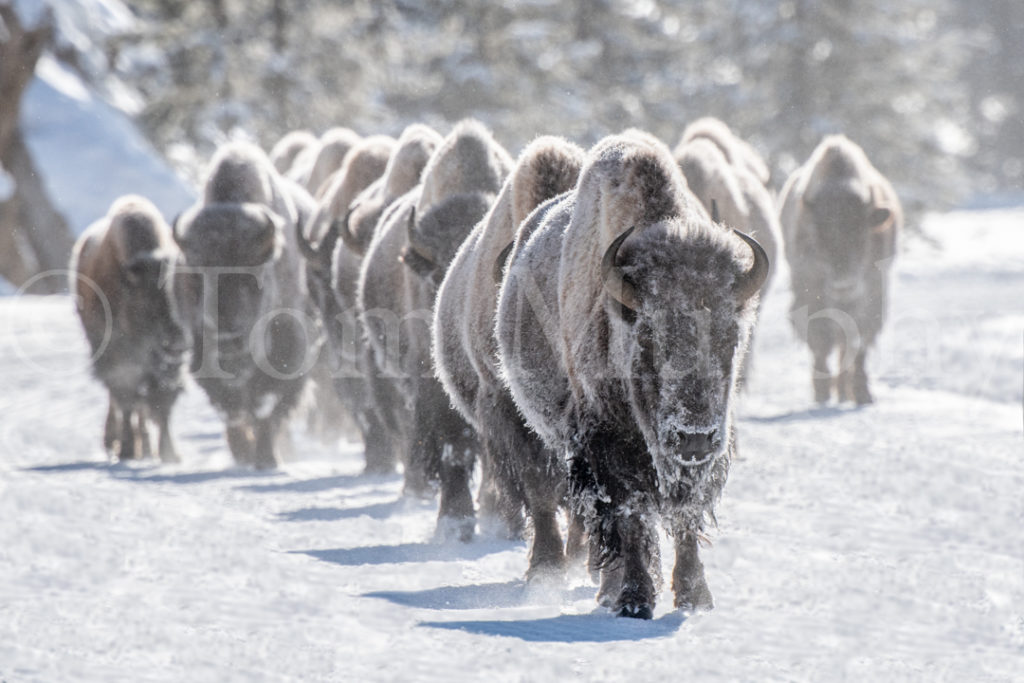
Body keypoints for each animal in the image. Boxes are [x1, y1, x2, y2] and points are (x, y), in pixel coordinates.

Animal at [70, 195, 186, 464]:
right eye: (148, 305)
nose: (175, 341)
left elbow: (160, 403)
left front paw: (170, 454)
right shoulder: (120, 358)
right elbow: (126, 399)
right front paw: (127, 449)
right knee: (122, 400)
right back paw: (121, 444)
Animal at [173, 141, 318, 468]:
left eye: (253, 278)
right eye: (197, 276)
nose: (229, 340)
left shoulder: (289, 354)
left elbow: (267, 407)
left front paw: (266, 459)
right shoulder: (202, 352)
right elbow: (232, 408)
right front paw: (244, 453)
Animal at [495, 134, 769, 618]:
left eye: (731, 336)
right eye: (648, 336)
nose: (693, 436)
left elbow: (685, 516)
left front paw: (696, 597)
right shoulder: (605, 446)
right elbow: (630, 516)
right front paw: (634, 600)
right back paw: (606, 589)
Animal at [778, 134, 901, 405]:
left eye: (862, 235)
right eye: (818, 237)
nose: (843, 286)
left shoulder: (871, 294)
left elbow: (858, 340)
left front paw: (863, 394)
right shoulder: (811, 293)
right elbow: (821, 338)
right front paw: (822, 393)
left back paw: (846, 391)